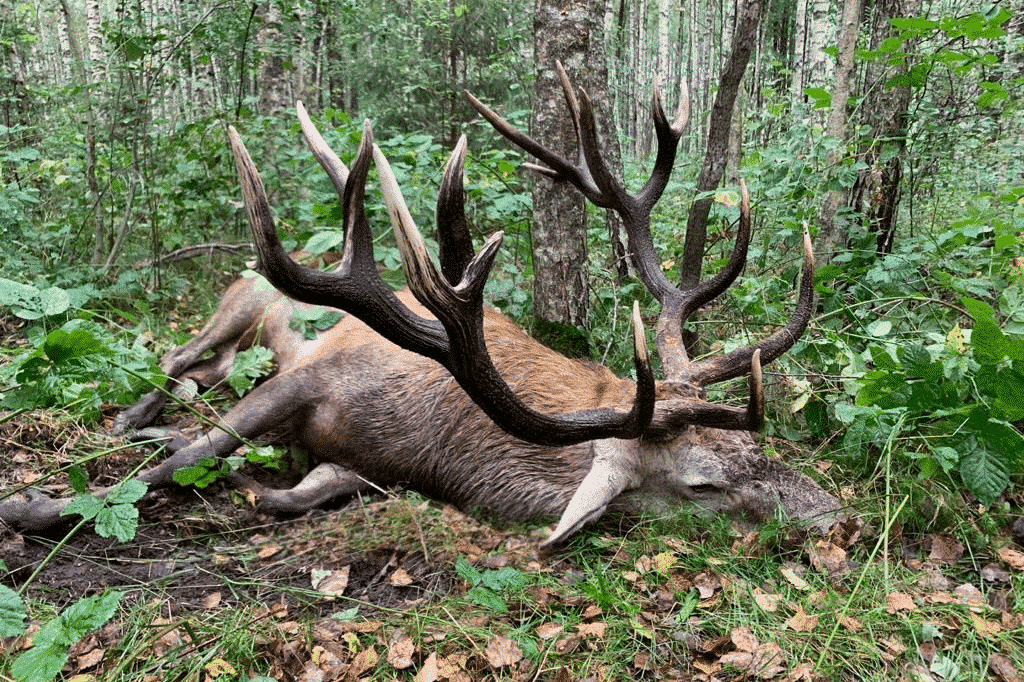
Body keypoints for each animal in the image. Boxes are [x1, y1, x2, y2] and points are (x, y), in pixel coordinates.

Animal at [0, 66, 844, 546]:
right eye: (704, 484)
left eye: (760, 450)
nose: (839, 516)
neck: (441, 443)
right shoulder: (312, 376)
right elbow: (187, 460)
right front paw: (34, 507)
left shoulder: (372, 467)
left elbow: (290, 491)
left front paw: (259, 488)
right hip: (243, 297)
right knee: (177, 356)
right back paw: (130, 420)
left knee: (199, 379)